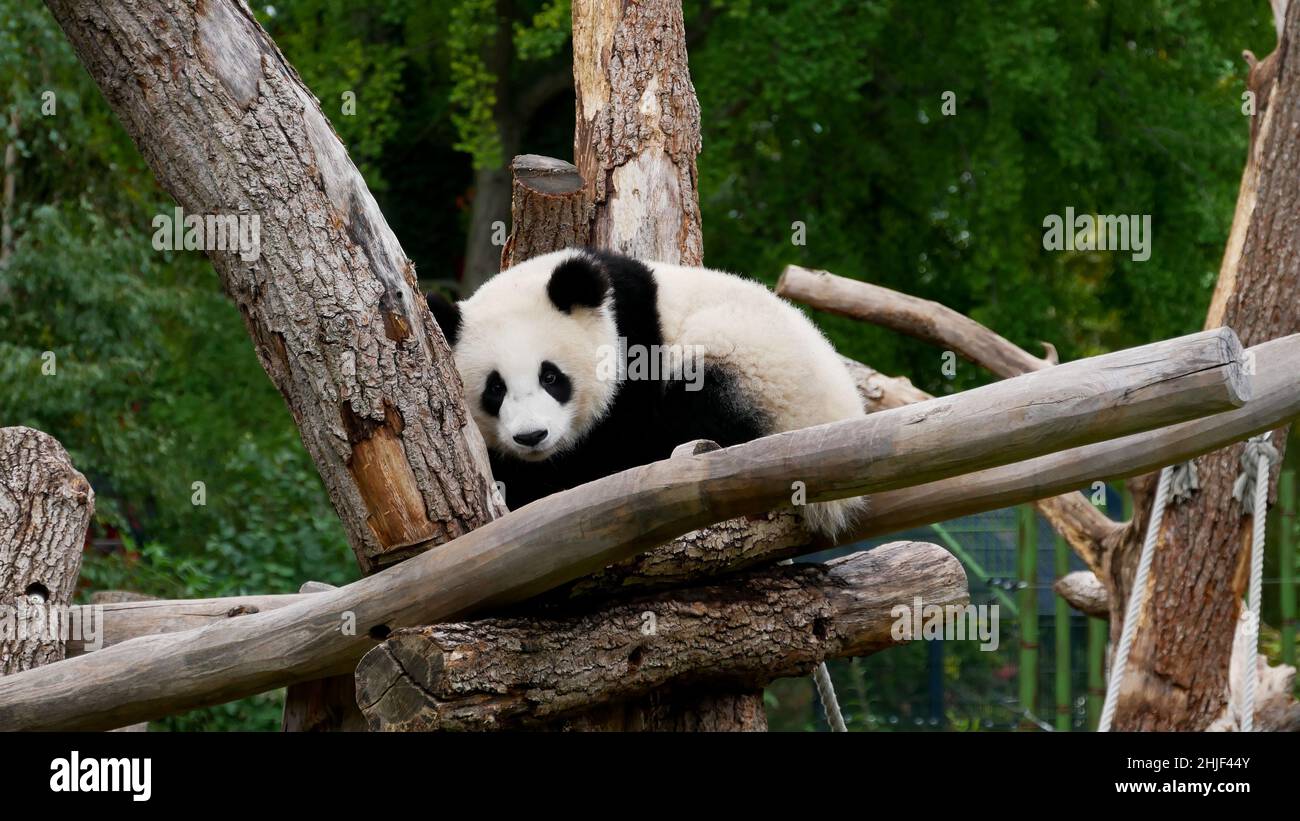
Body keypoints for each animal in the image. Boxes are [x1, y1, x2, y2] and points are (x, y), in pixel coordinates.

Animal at [426, 247, 868, 540]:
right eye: (495, 388)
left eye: (551, 376)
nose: (532, 436)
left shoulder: (637, 351)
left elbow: (612, 448)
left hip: (758, 377)